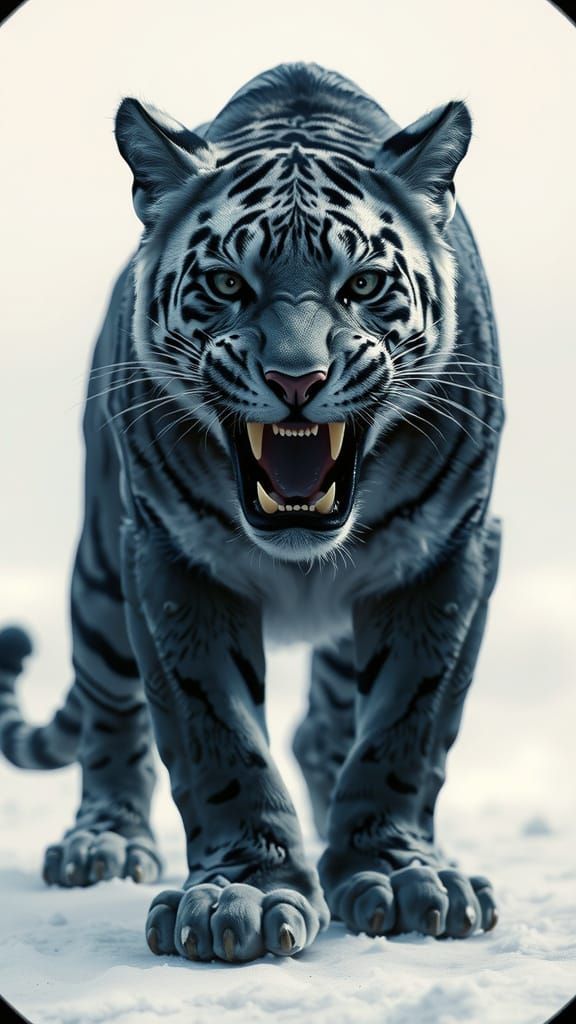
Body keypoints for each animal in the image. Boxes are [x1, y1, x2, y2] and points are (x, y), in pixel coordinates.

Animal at [0, 63, 504, 963]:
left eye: (363, 284)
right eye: (229, 284)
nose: (297, 379)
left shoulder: (452, 555)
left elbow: (408, 727)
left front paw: (402, 876)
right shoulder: (170, 560)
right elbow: (217, 740)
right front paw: (242, 896)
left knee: (327, 727)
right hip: (99, 578)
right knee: (109, 719)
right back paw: (103, 842)